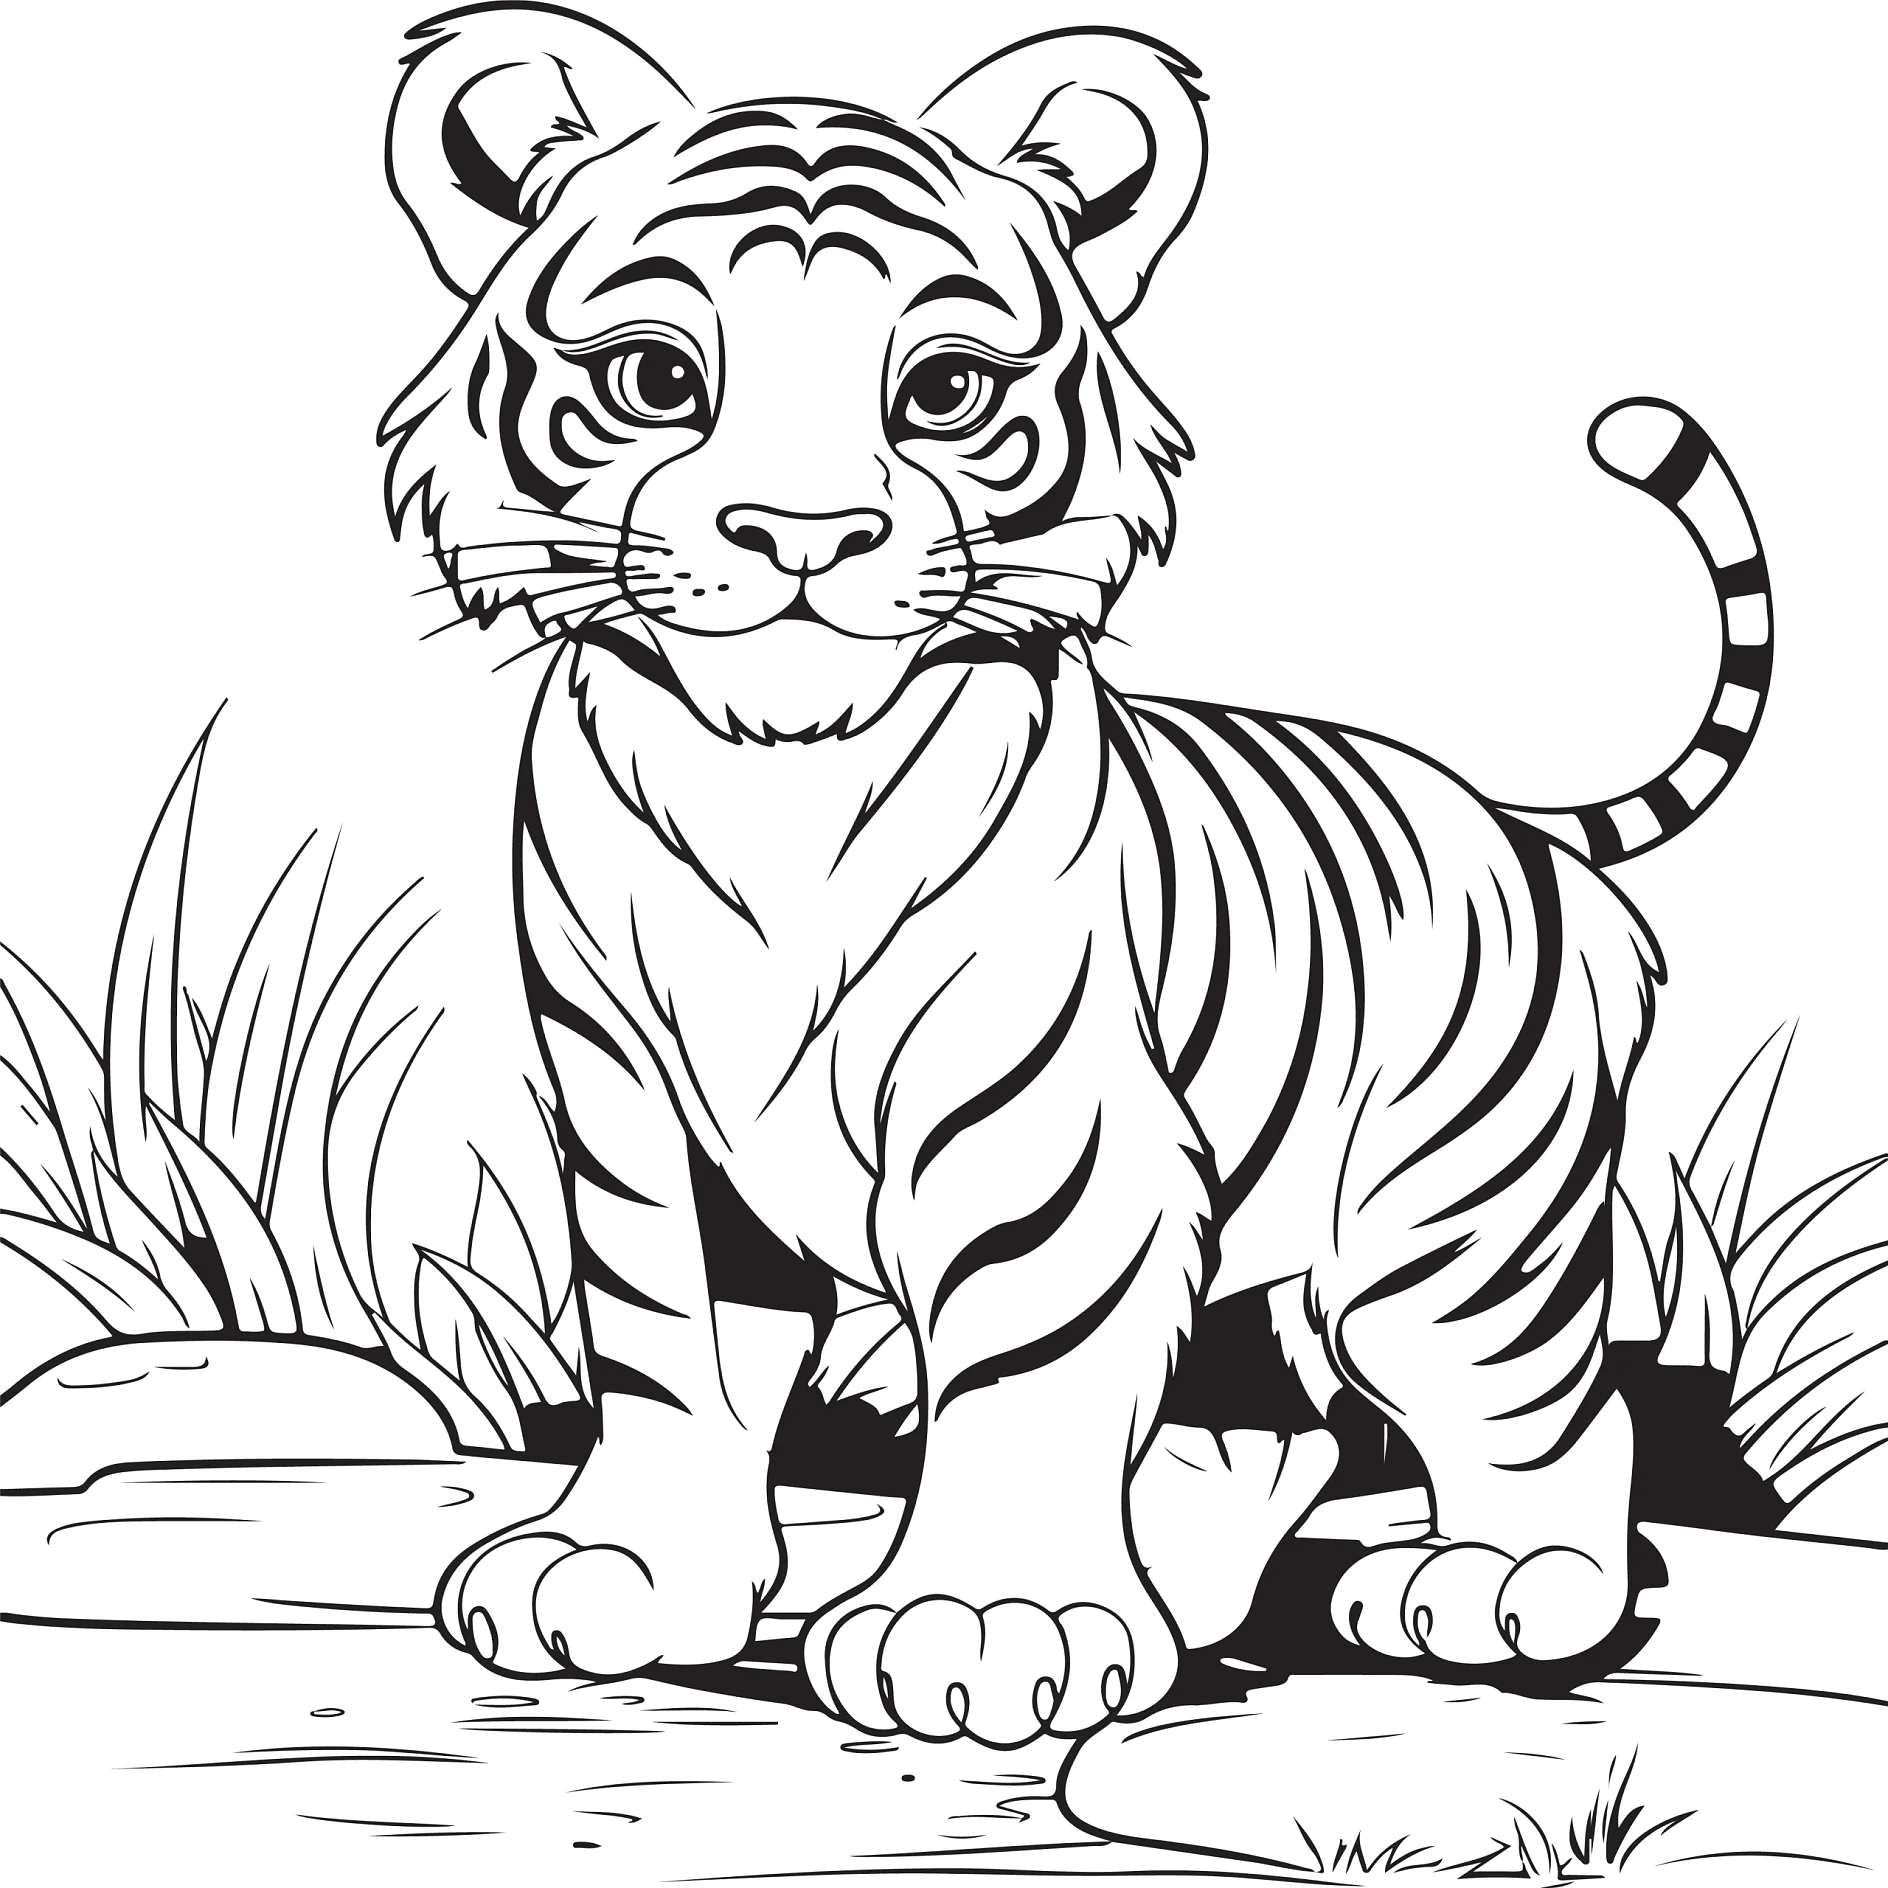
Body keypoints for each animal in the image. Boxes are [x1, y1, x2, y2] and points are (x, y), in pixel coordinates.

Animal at [380, 4, 1774, 1746]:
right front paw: (622, 1573)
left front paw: (985, 1625)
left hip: (1450, 1222)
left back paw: (1495, 1588)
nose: (803, 533)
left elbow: (1023, 1358)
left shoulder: (1044, 1118)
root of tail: (1513, 815)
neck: (773, 776)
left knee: (1549, 1407)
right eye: (658, 379)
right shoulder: (644, 1121)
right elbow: (663, 1347)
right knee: (1273, 1426)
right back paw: (1183, 1602)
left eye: (944, 391)